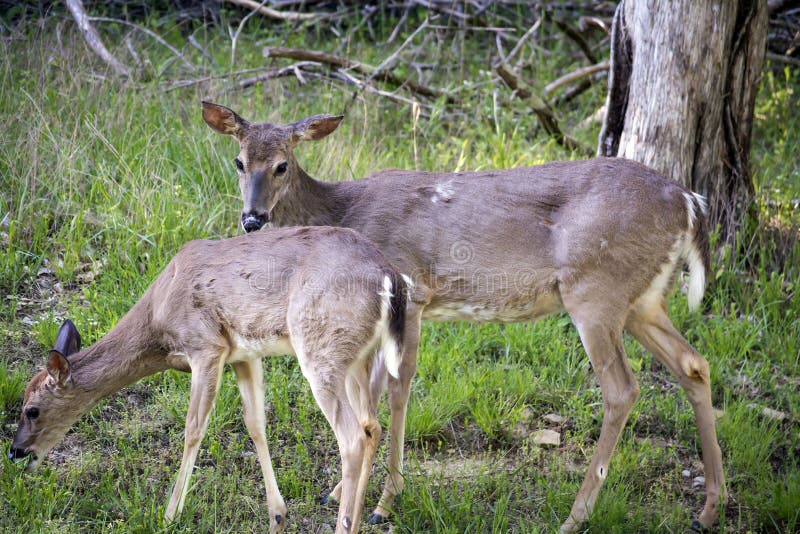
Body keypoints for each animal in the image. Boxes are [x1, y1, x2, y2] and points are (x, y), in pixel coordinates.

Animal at [9, 226, 407, 534]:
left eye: (32, 409)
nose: (16, 452)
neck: (158, 324)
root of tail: (389, 276)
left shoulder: (205, 346)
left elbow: (193, 429)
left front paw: (170, 514)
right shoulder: (245, 355)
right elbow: (255, 424)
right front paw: (277, 516)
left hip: (320, 348)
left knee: (352, 436)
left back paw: (347, 522)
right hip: (356, 357)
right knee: (371, 425)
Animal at [201, 101, 727, 533]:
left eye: (282, 165)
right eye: (239, 161)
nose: (252, 219)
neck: (344, 211)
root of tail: (690, 202)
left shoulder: (412, 290)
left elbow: (397, 388)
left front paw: (385, 502)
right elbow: (373, 390)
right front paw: (341, 491)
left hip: (596, 291)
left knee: (622, 388)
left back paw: (575, 517)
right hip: (643, 299)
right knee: (693, 364)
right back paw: (708, 510)